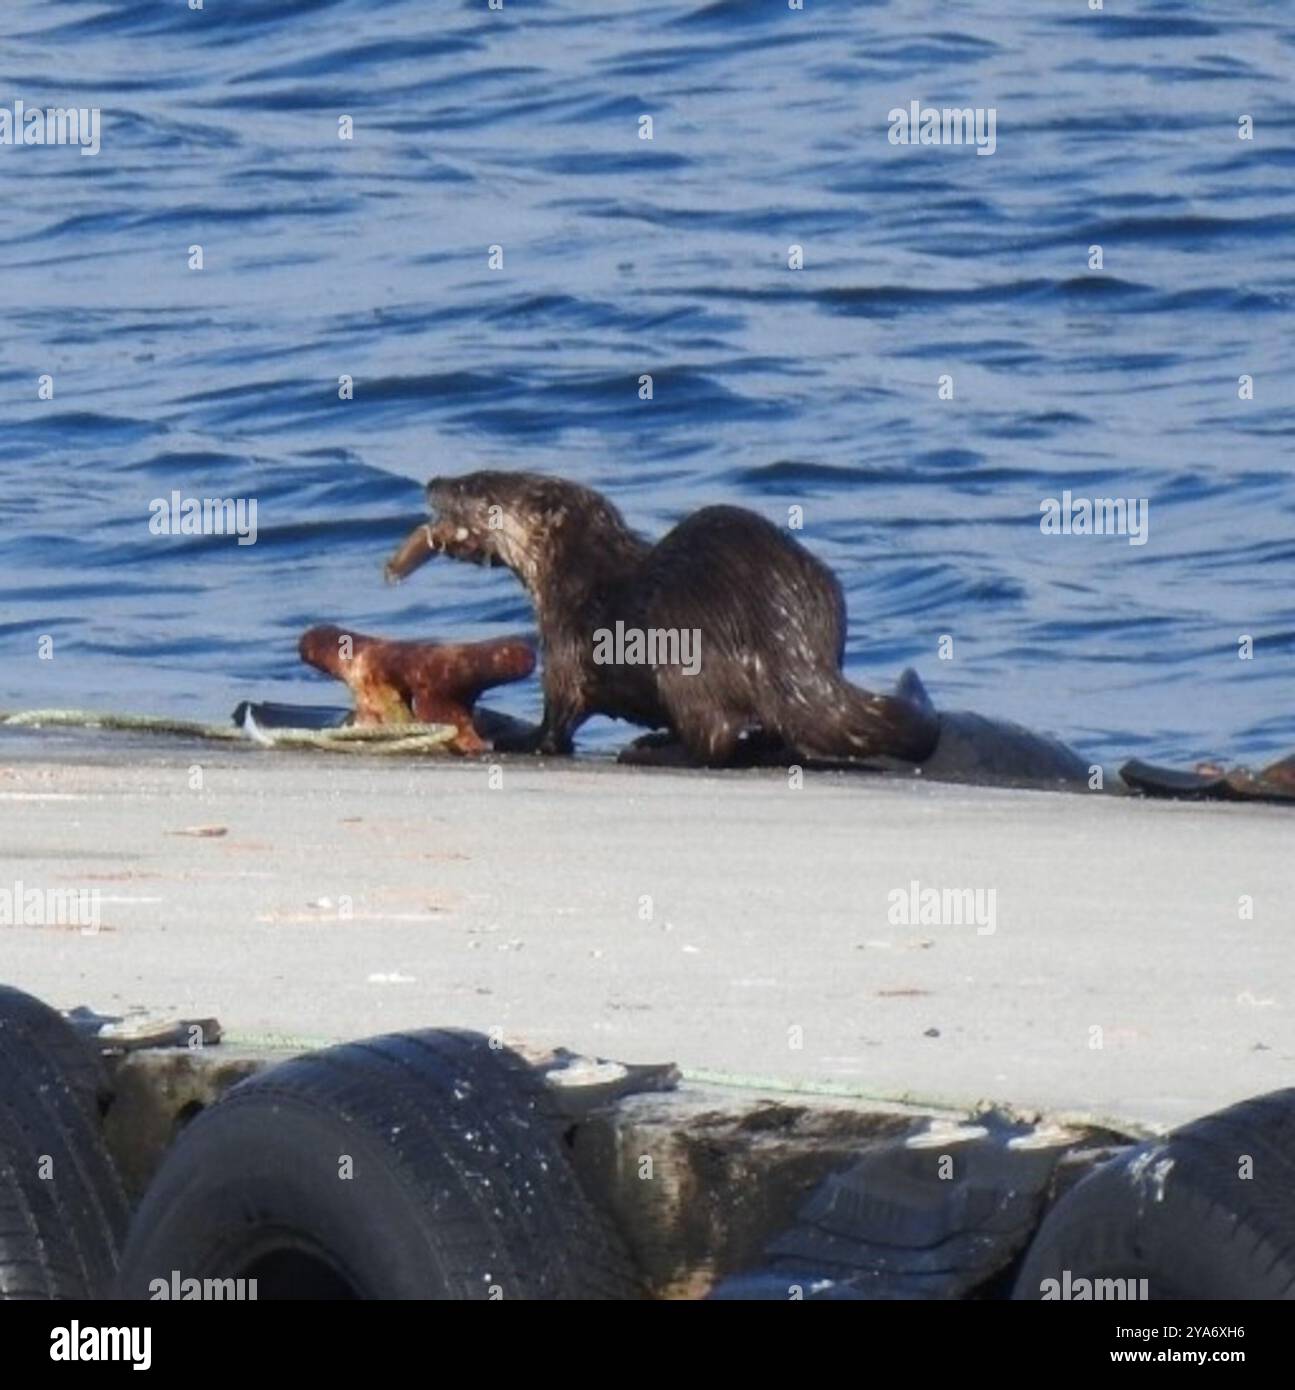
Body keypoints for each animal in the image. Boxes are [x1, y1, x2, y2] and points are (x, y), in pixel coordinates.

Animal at [384, 471, 939, 765]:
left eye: (474, 488)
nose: (433, 481)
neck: (574, 576)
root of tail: (790, 637)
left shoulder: (563, 649)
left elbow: (557, 720)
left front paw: (518, 741)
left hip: (685, 656)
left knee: (715, 737)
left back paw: (651, 747)